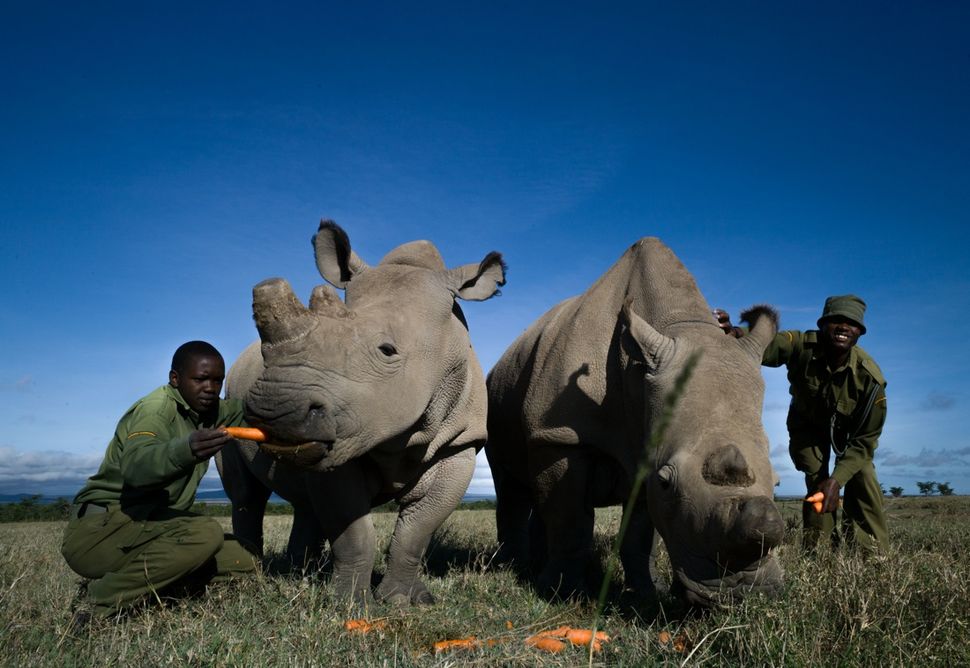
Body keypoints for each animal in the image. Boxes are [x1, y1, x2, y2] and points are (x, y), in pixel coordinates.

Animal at [217, 221, 505, 606]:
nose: (276, 412)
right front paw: (351, 603)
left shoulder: (460, 444)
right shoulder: (343, 441)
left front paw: (404, 600)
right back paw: (257, 575)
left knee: (301, 497)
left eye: (387, 350)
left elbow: (418, 528)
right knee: (247, 495)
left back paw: (301, 572)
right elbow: (353, 531)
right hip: (226, 400)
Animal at [484, 237, 784, 606]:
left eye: (778, 482)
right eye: (666, 481)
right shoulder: (559, 435)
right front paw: (563, 594)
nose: (743, 593)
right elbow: (570, 520)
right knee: (510, 486)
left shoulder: (645, 444)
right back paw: (512, 569)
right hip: (495, 397)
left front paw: (646, 592)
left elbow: (640, 533)